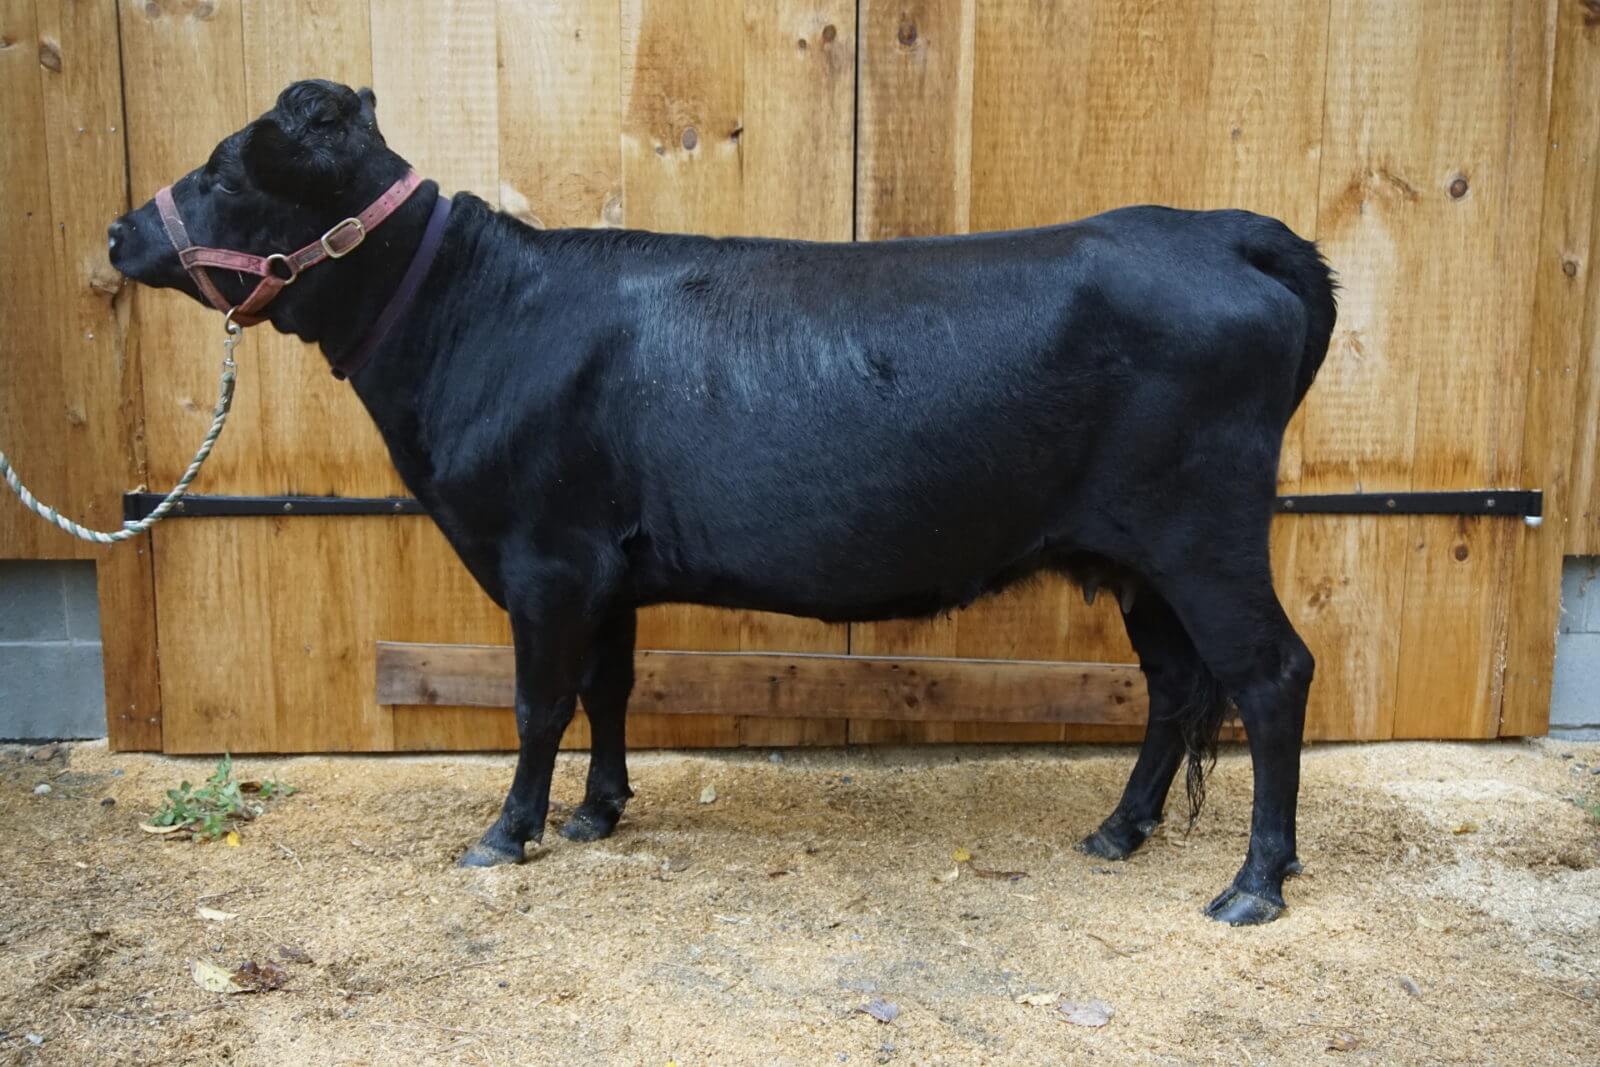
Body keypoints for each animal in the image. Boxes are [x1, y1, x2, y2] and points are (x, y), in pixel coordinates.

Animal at [109, 80, 1335, 925]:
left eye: (227, 170)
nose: (120, 231)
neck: (475, 315)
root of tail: (1215, 228)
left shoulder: (544, 556)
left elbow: (537, 702)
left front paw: (508, 830)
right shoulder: (607, 565)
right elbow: (608, 688)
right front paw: (598, 810)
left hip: (1203, 534)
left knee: (1271, 672)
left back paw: (1255, 881)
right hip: (1137, 557)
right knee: (1175, 686)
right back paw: (1118, 830)